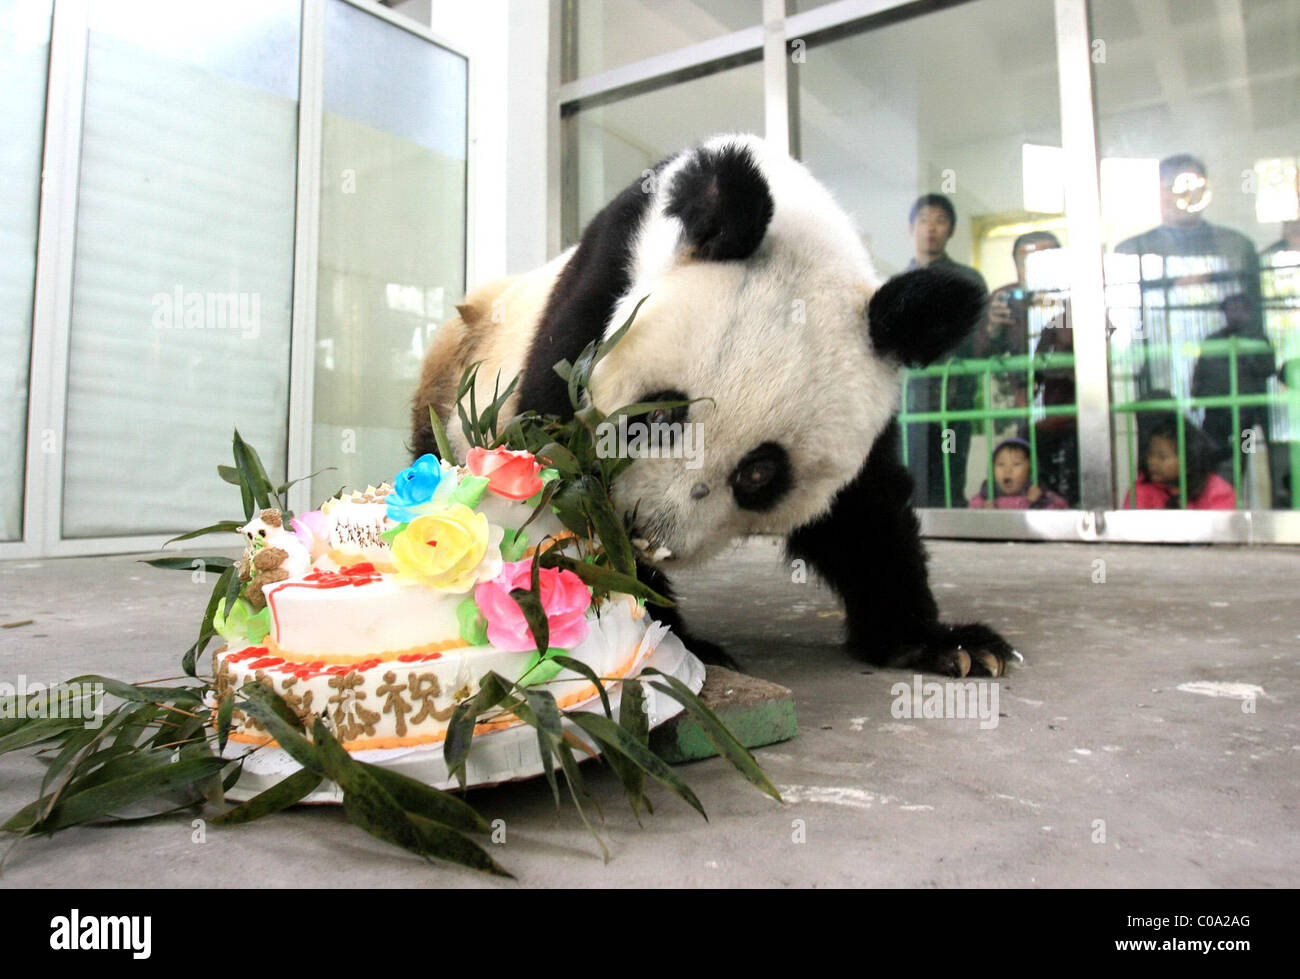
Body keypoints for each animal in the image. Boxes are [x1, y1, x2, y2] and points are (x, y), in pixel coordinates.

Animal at [411, 132, 1017, 678]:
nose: (645, 533)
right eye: (659, 413)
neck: (795, 220)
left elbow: (864, 512)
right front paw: (673, 634)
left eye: (759, 472)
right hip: (455, 372)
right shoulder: (600, 288)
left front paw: (941, 643)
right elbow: (557, 466)